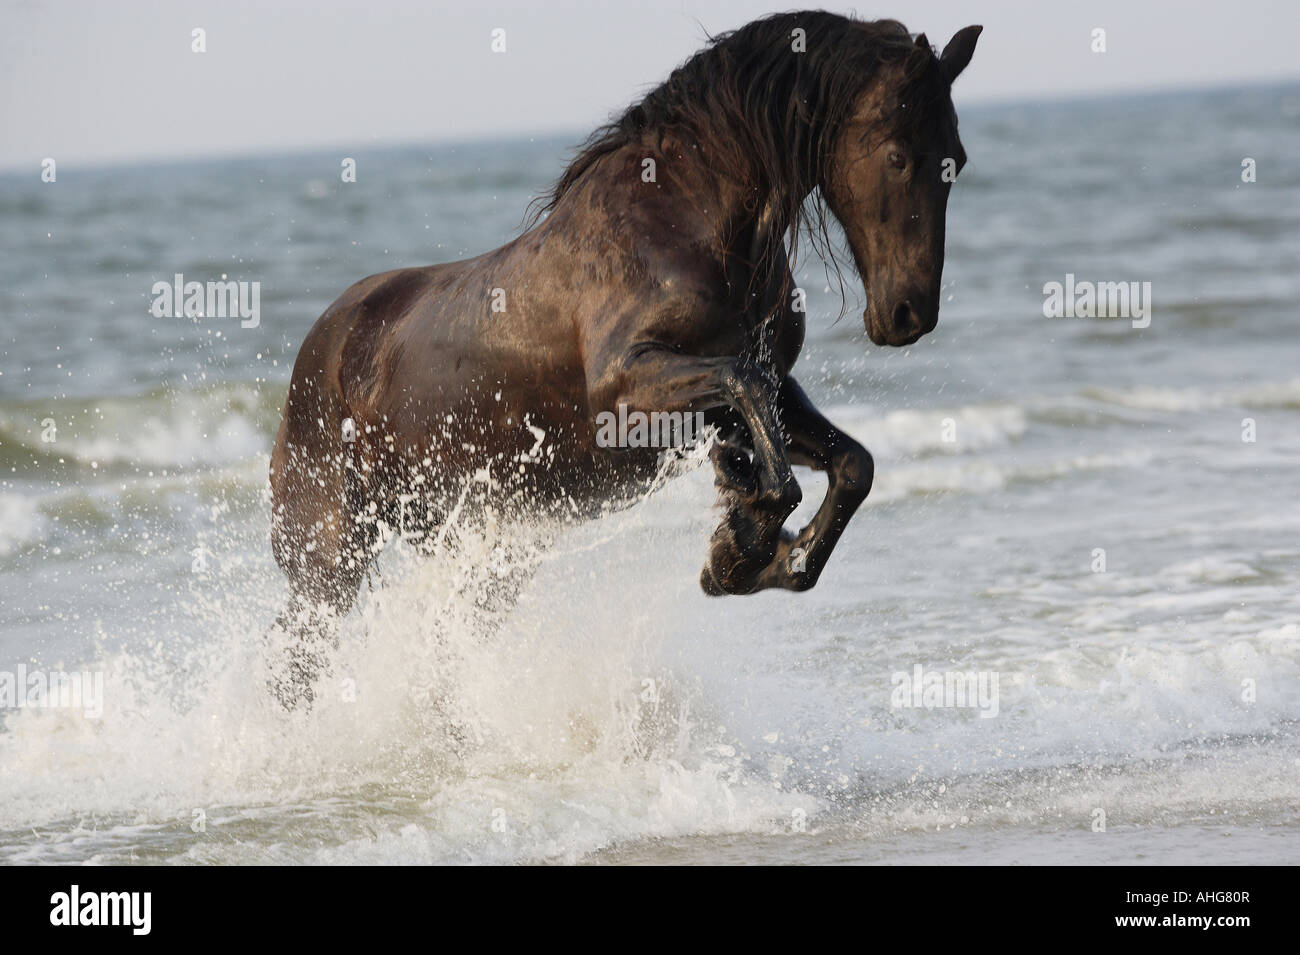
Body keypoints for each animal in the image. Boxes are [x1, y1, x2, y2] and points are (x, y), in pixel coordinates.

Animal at [267, 12, 982, 707]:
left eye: (957, 158)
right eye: (897, 156)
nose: (910, 315)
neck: (687, 226)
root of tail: (320, 349)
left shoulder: (769, 389)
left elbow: (847, 463)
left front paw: (766, 553)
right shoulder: (626, 394)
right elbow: (752, 411)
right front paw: (739, 549)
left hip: (487, 554)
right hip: (329, 554)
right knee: (295, 666)